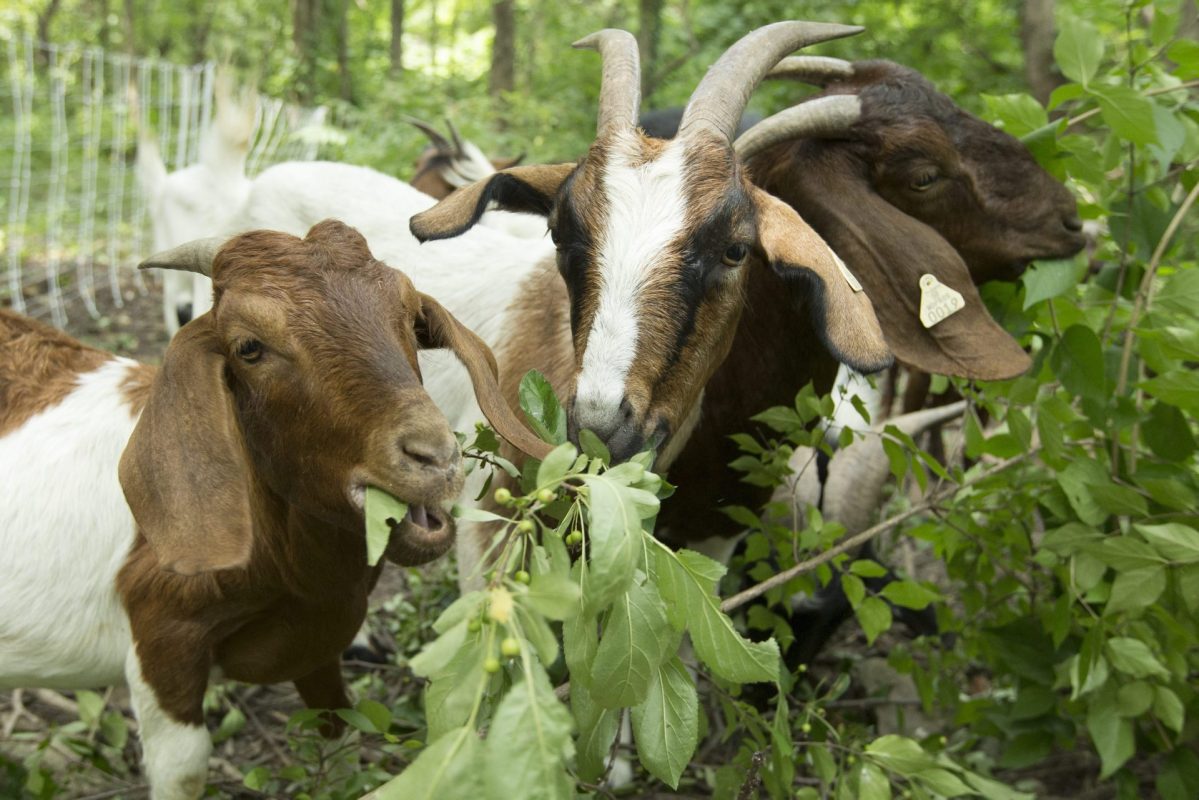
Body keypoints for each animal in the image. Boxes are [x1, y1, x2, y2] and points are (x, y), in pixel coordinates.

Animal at [0, 220, 547, 800]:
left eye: (411, 318)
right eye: (249, 347)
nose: (434, 456)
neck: (286, 568)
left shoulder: (321, 636)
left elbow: (340, 734)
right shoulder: (162, 640)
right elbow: (185, 768)